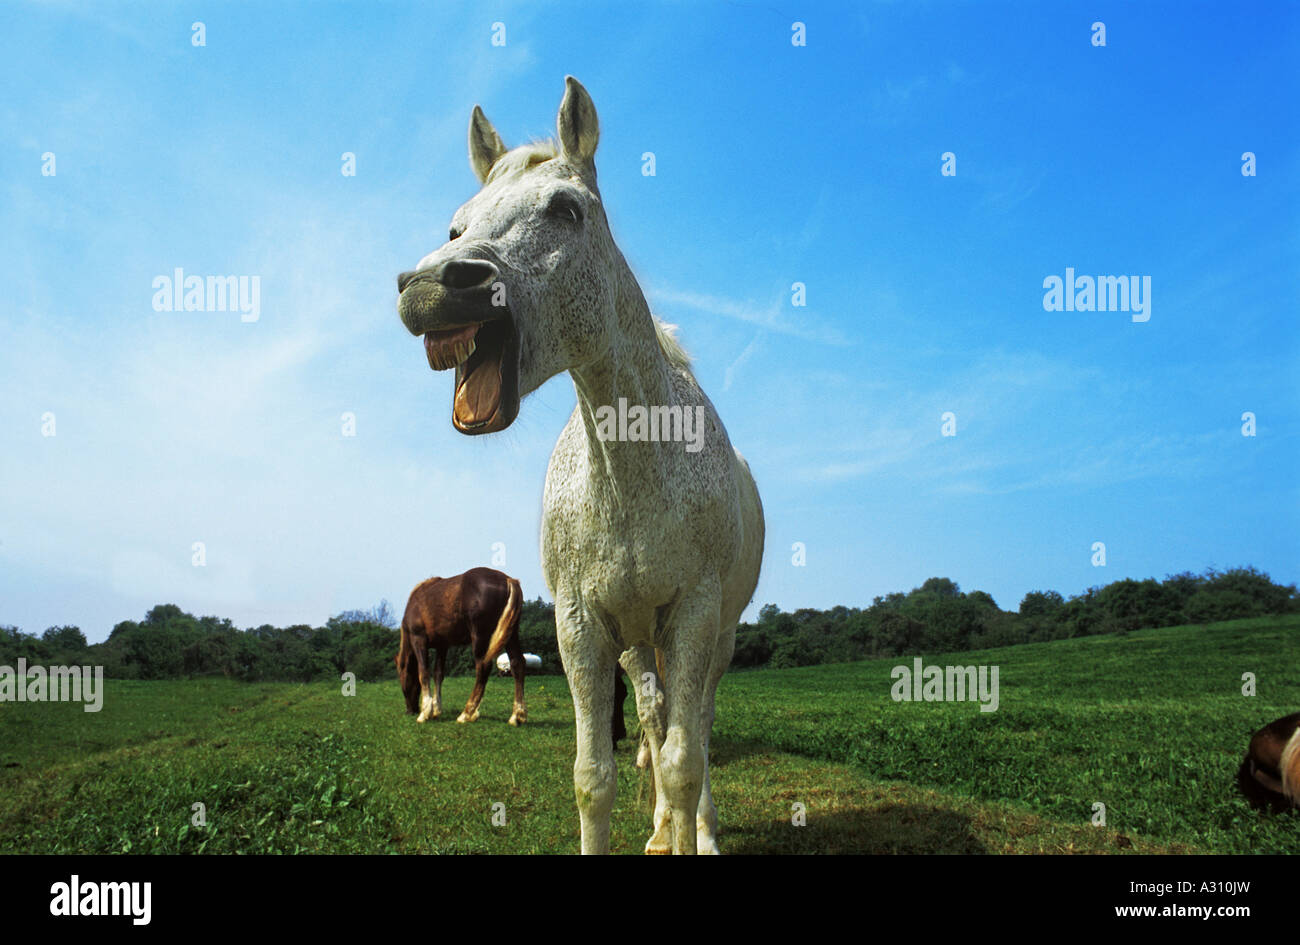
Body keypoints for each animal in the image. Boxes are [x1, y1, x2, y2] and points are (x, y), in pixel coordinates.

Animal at [395, 567, 526, 726]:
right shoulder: (442, 646)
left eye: (402, 676)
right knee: (517, 663)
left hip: (480, 636)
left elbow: (423, 672)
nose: (410, 710)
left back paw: (466, 713)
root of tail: (508, 580)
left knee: (483, 667)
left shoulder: (418, 639)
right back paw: (517, 715)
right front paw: (436, 709)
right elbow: (438, 674)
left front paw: (425, 712)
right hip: (510, 634)